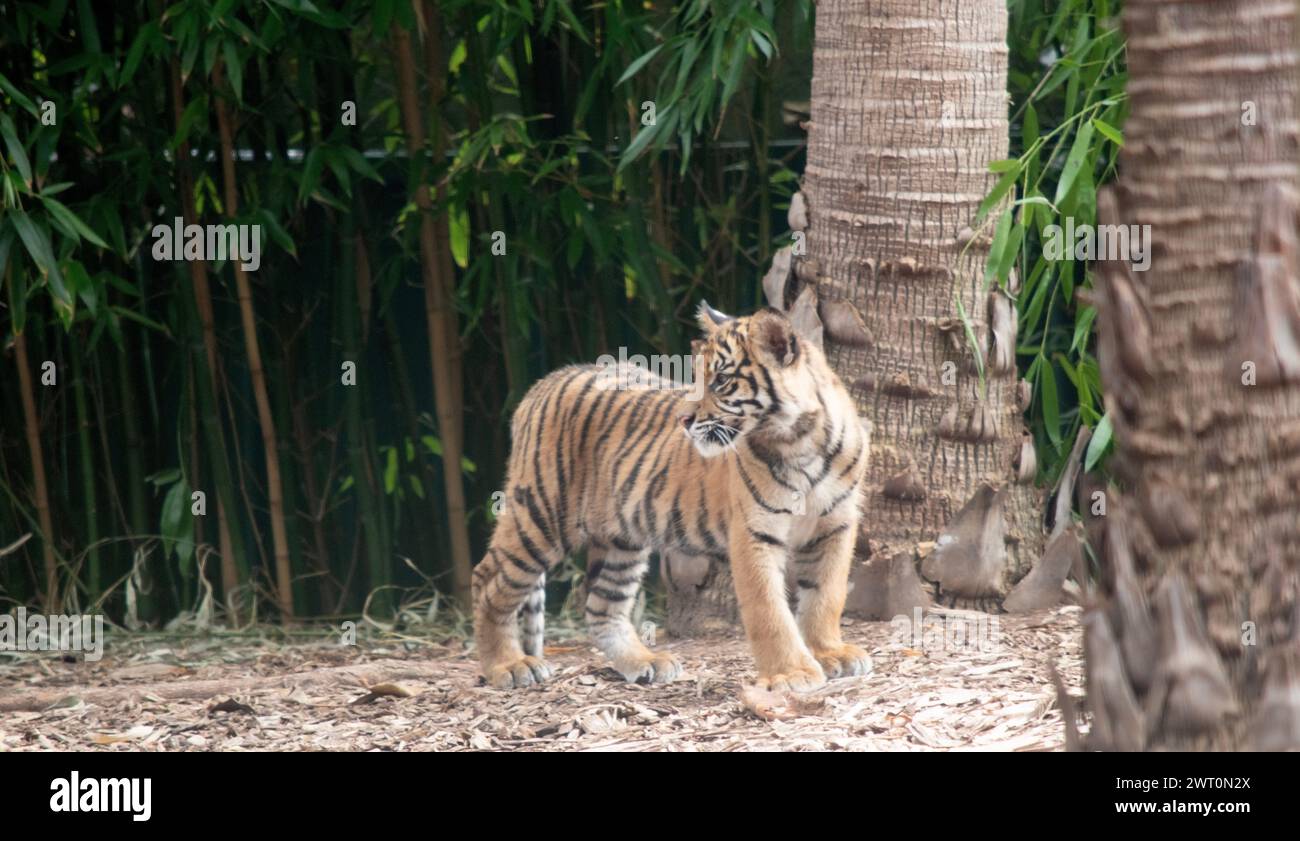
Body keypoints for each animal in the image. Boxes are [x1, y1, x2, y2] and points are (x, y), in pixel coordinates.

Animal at [471, 301, 871, 692]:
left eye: (721, 380)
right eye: (697, 377)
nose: (684, 420)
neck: (800, 440)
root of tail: (544, 382)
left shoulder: (835, 527)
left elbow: (826, 596)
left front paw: (830, 654)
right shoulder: (754, 533)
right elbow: (768, 611)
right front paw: (791, 673)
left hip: (621, 539)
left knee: (601, 606)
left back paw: (644, 662)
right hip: (541, 514)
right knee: (488, 581)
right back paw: (508, 665)